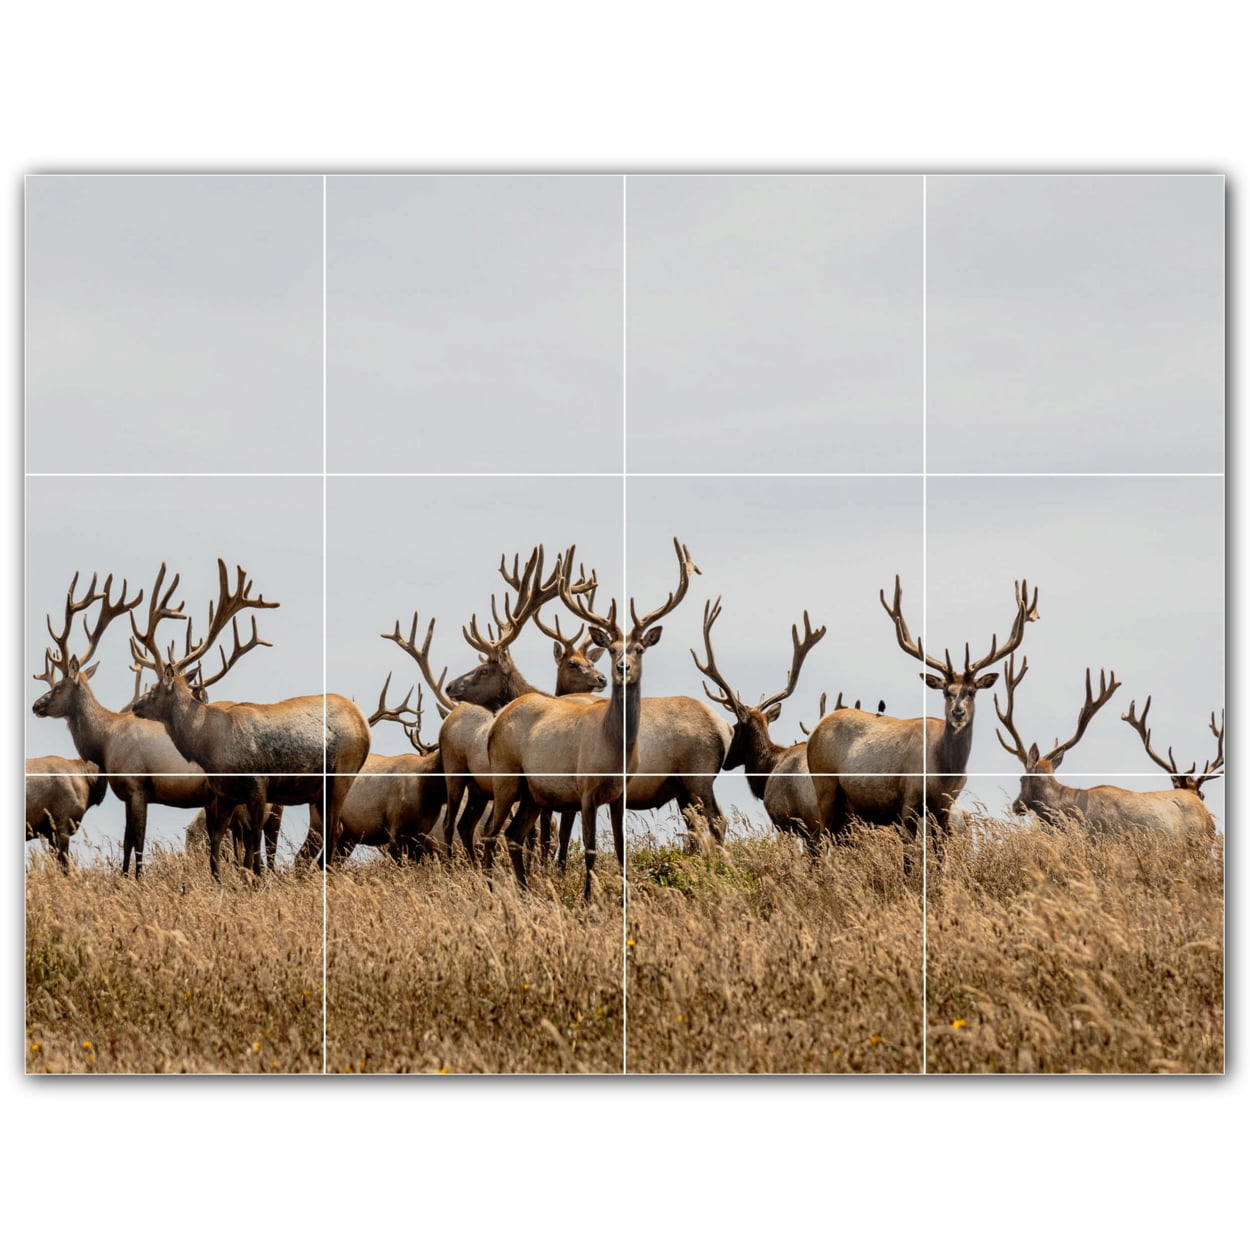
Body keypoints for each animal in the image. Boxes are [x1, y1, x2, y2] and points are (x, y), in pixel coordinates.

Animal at [30, 568, 226, 879]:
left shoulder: (137, 786)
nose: (36, 705)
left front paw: (137, 879)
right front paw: (123, 877)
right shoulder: (125, 793)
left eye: (58, 686)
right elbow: (126, 842)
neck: (105, 741)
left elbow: (139, 840)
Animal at [130, 559, 371, 878]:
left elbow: (253, 842)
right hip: (321, 788)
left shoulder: (258, 783)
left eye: (155, 688)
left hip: (343, 770)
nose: (135, 705)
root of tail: (363, 722)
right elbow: (219, 842)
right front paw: (222, 880)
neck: (208, 745)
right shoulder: (227, 794)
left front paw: (257, 879)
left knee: (333, 829)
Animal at [484, 537, 698, 900]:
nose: (621, 668)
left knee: (513, 835)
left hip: (533, 792)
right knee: (490, 832)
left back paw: (526, 892)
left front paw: (624, 898)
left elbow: (622, 850)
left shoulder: (620, 793)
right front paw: (588, 900)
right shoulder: (585, 789)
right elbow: (591, 847)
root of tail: (495, 723)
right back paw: (488, 890)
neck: (614, 751)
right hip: (505, 776)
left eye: (640, 649)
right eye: (612, 649)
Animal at [808, 575, 1040, 861]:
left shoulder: (944, 806)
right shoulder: (909, 798)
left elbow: (941, 854)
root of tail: (815, 731)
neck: (944, 771)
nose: (958, 712)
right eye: (946, 691)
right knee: (819, 841)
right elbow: (908, 854)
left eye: (972, 691)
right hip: (825, 785)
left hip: (848, 807)